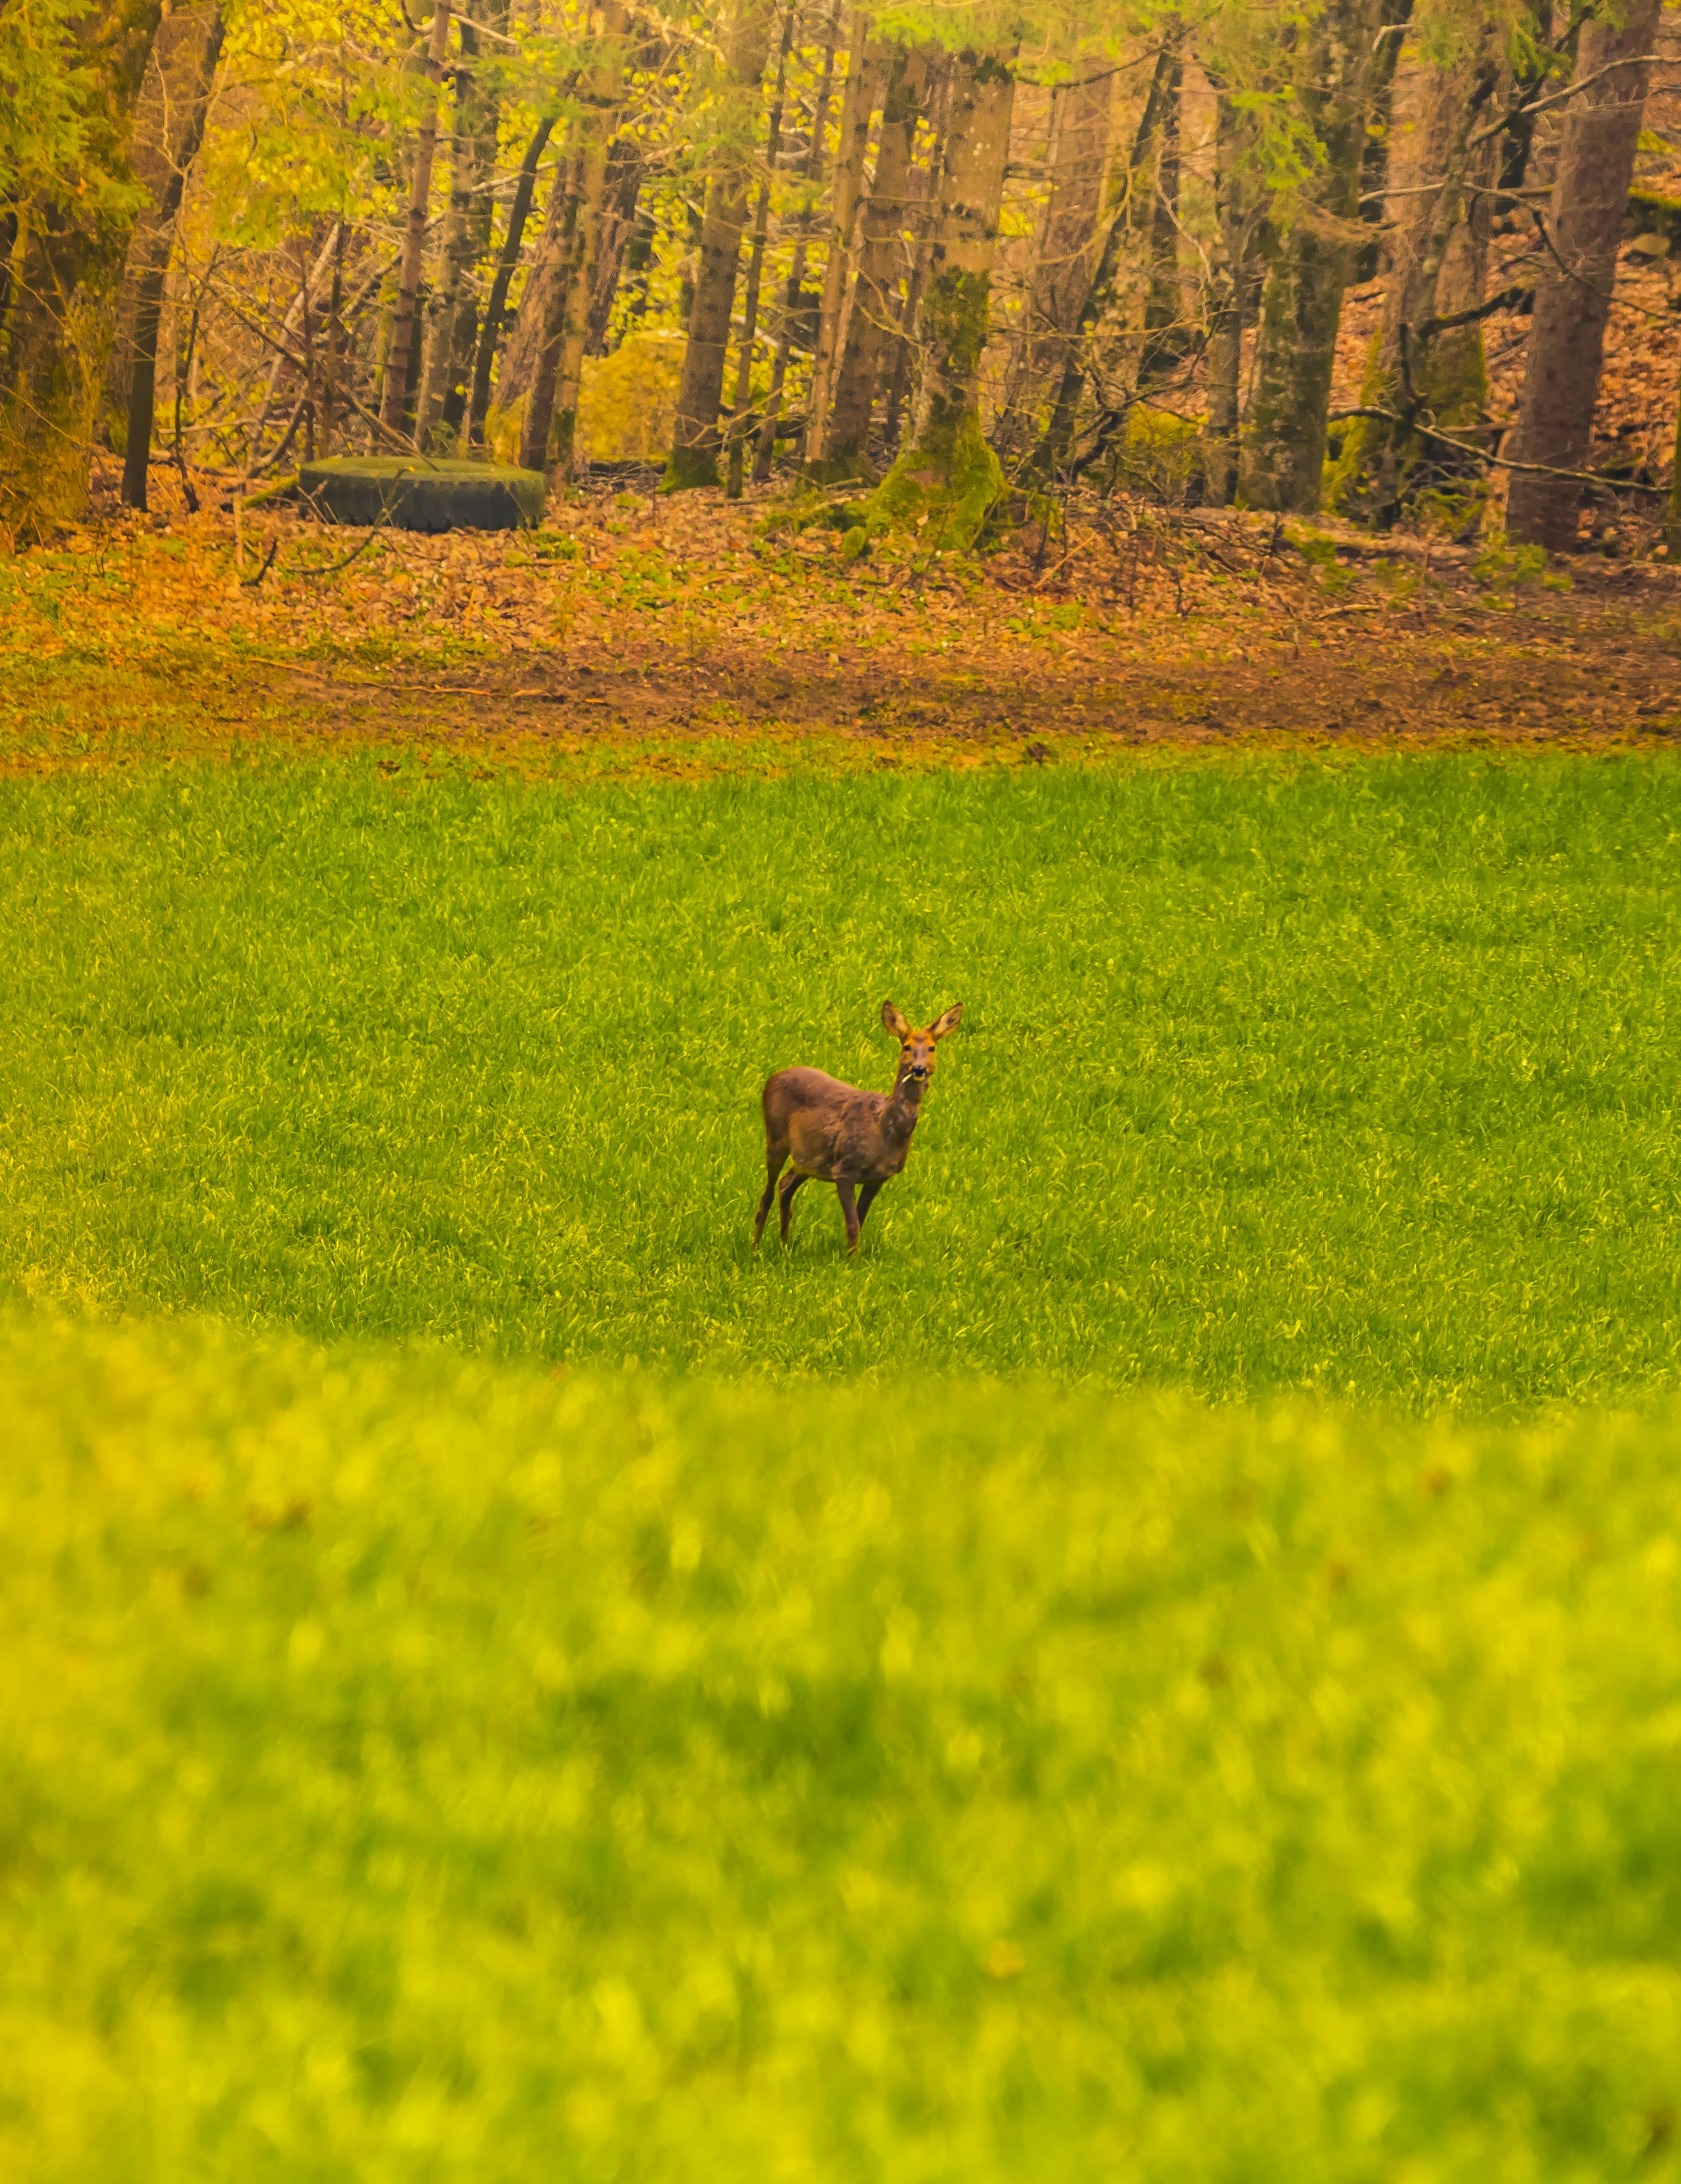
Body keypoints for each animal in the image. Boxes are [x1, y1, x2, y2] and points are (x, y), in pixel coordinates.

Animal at [753, 1001, 964, 1256]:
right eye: (906, 1046)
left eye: (932, 1047)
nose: (919, 1069)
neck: (884, 1132)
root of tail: (772, 1077)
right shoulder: (844, 1169)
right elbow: (852, 1224)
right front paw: (849, 1261)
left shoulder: (878, 1178)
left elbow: (860, 1221)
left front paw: (851, 1257)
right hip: (776, 1137)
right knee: (767, 1194)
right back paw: (756, 1248)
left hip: (808, 1159)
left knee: (785, 1185)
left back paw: (785, 1244)